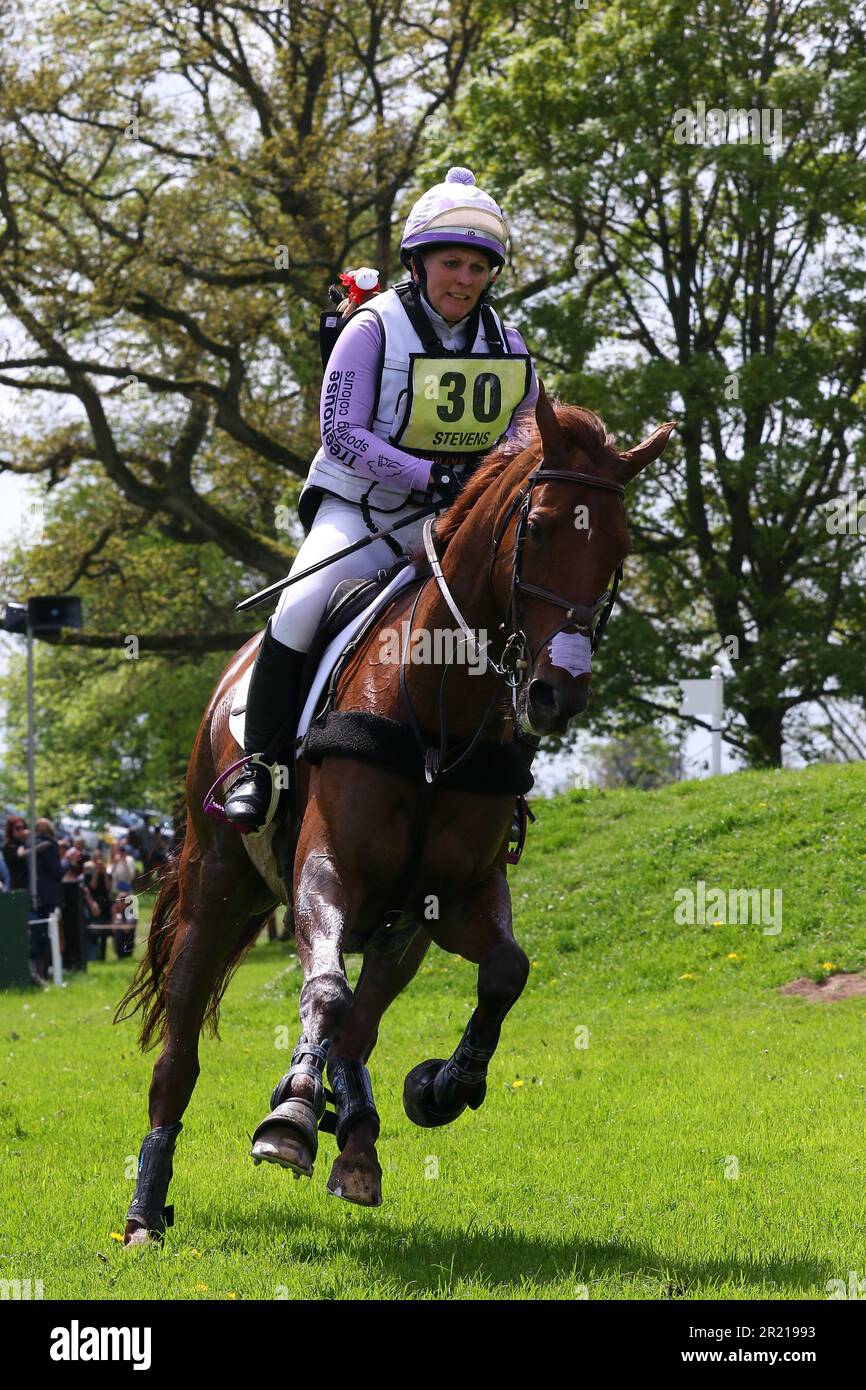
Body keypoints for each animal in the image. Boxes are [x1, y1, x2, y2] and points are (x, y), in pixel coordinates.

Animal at [116, 385, 676, 1243]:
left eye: (619, 548)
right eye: (540, 527)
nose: (559, 693)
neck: (438, 710)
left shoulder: (457, 895)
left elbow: (504, 973)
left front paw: (442, 1086)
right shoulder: (327, 872)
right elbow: (324, 993)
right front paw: (290, 1116)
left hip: (397, 926)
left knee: (363, 1023)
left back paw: (355, 1138)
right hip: (218, 887)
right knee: (183, 1044)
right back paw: (150, 1203)